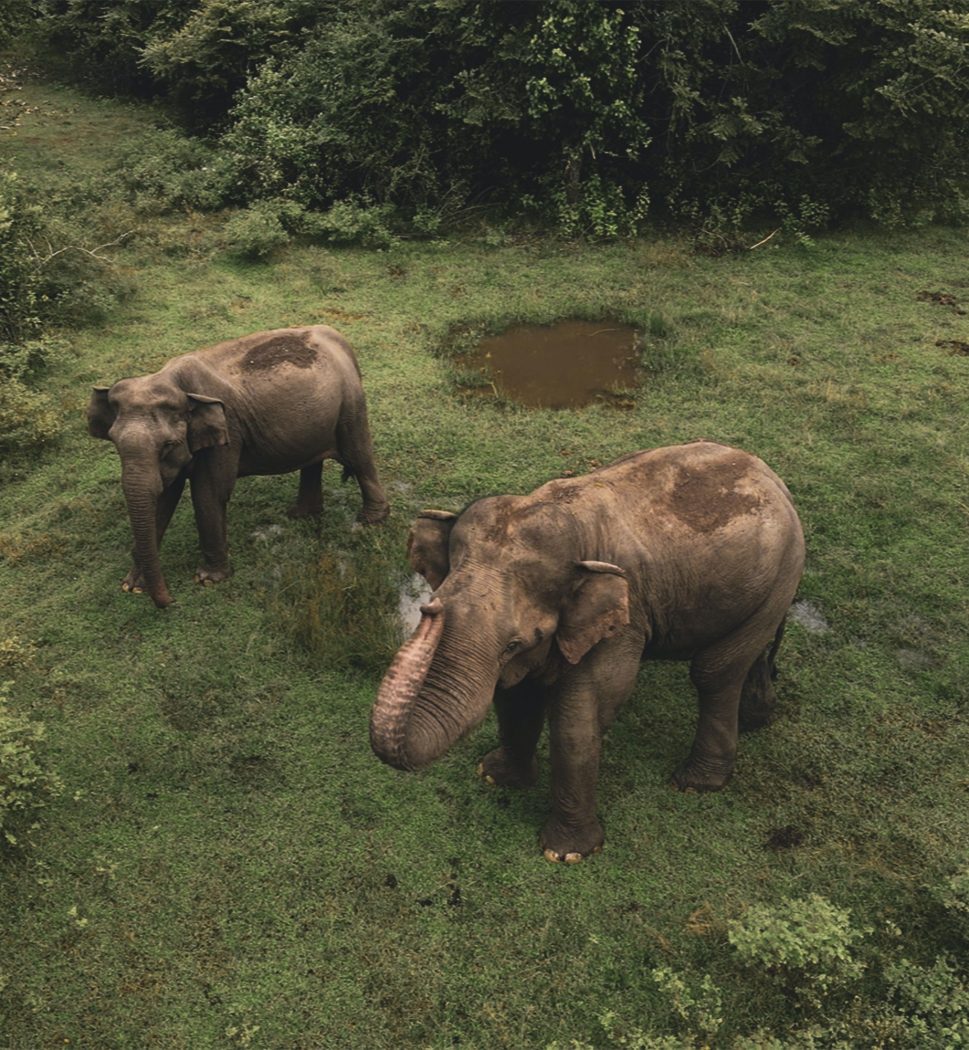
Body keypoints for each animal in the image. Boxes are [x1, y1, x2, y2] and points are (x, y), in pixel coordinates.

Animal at [87, 324, 389, 608]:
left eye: (168, 444)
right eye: (114, 442)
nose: (172, 601)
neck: (172, 381)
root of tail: (337, 337)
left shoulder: (227, 431)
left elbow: (209, 493)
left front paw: (208, 580)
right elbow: (163, 497)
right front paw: (131, 586)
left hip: (350, 404)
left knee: (359, 456)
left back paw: (370, 522)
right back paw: (301, 515)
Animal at [370, 441, 805, 862]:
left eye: (515, 643)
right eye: (433, 600)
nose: (429, 611)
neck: (570, 519)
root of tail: (774, 478)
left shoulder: (624, 620)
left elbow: (580, 716)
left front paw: (566, 853)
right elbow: (515, 697)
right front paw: (495, 776)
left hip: (782, 573)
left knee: (714, 672)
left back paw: (694, 784)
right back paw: (756, 720)